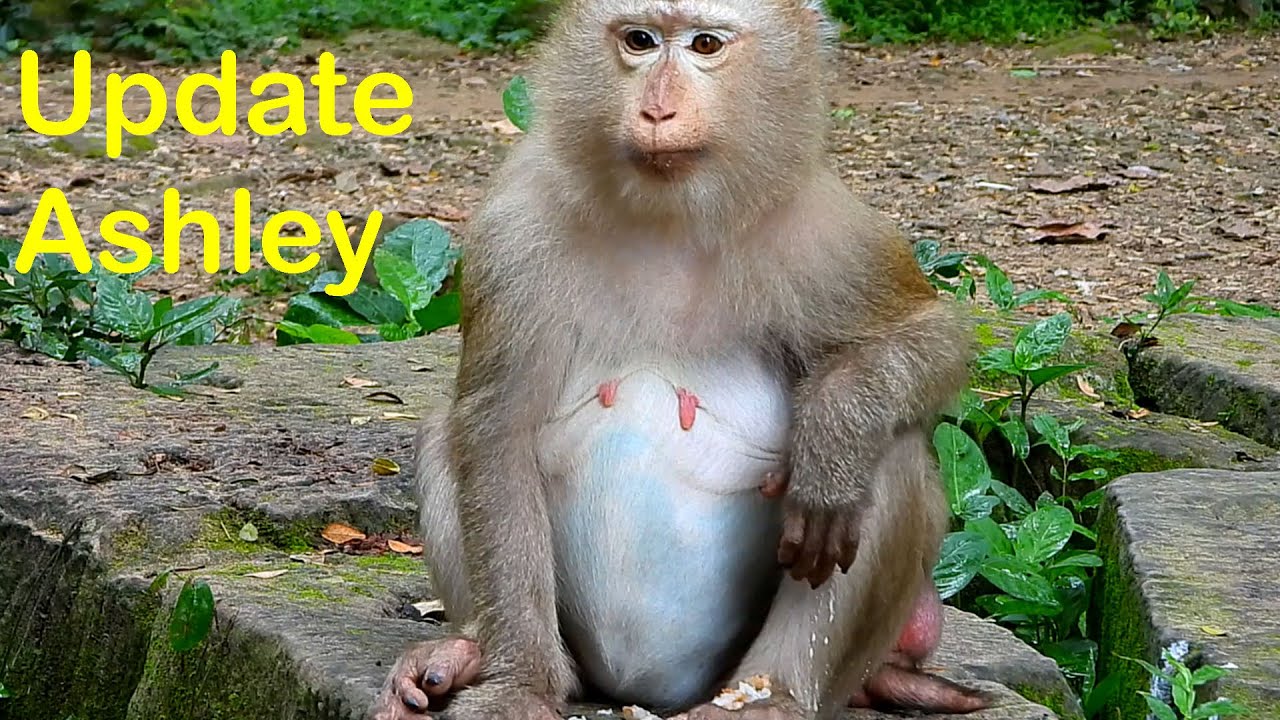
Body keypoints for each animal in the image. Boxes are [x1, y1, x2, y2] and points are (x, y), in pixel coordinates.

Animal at [371, 1, 984, 719]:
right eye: (640, 40)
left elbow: (929, 336)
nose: (658, 109)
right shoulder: (512, 231)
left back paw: (773, 693)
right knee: (449, 431)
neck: (668, 214)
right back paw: (468, 650)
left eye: (705, 45)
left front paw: (833, 429)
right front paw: (517, 684)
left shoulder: (824, 229)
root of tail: (641, 691)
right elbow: (498, 432)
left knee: (893, 454)